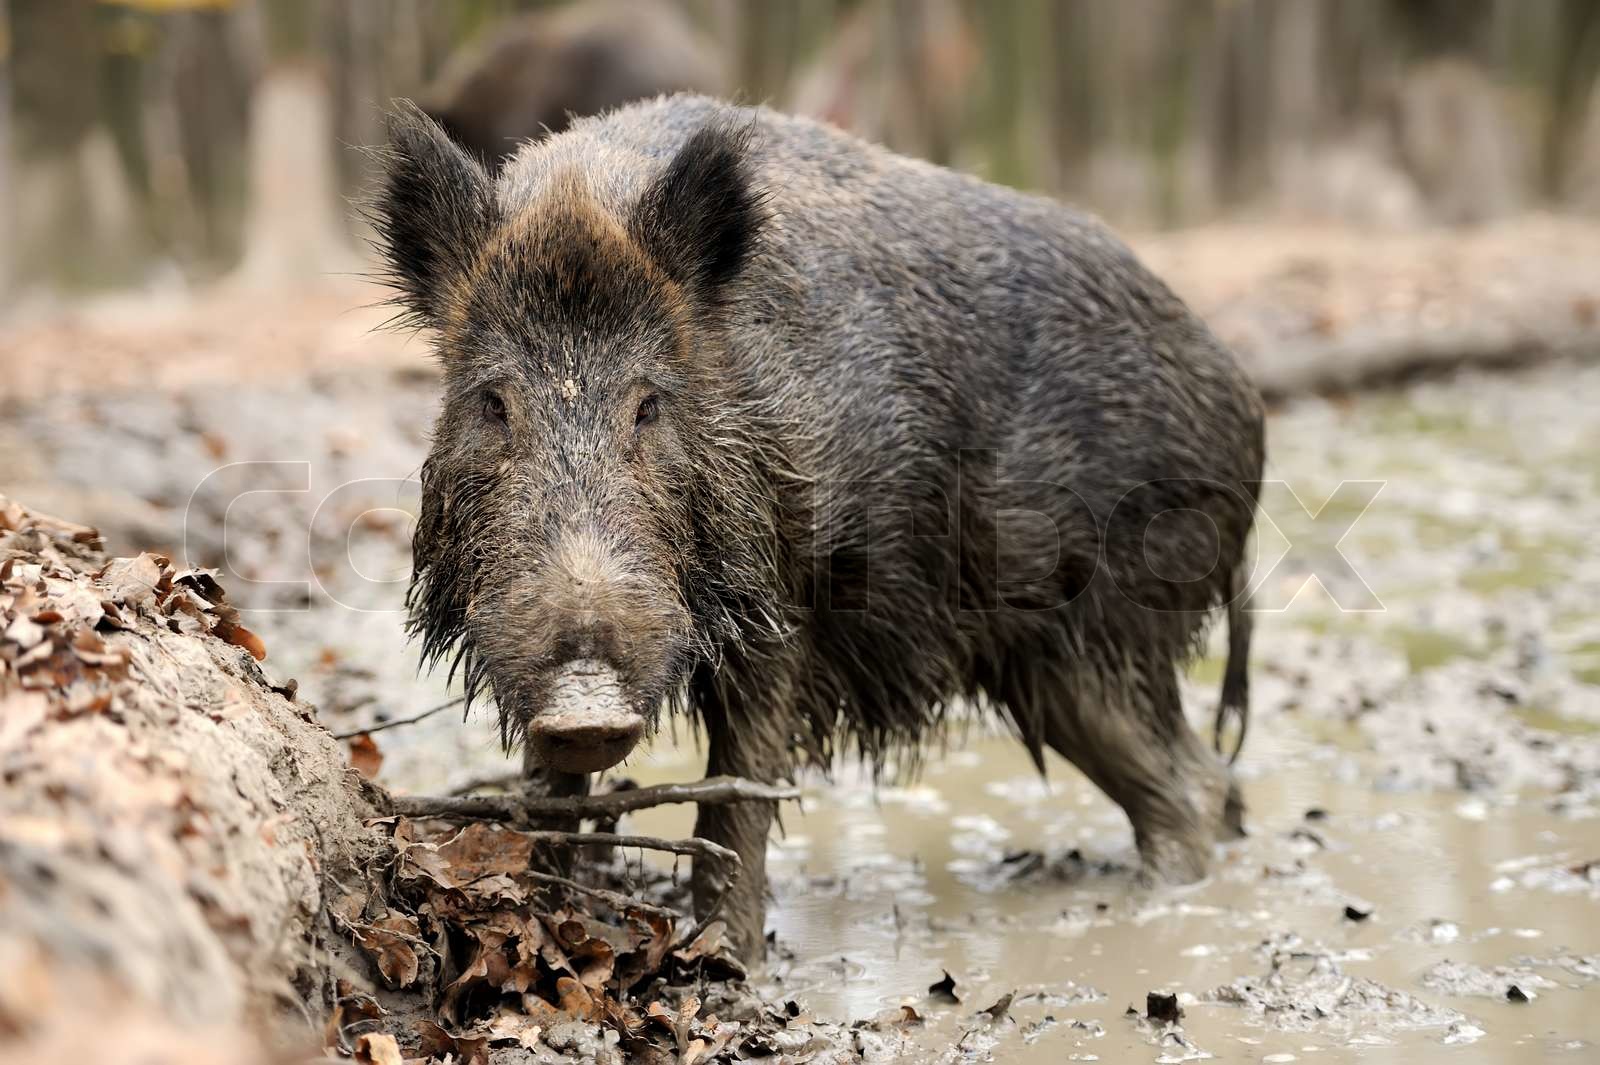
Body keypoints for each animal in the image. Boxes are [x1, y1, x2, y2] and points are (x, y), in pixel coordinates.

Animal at [375, 94, 1265, 962]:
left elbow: (737, 802)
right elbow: (551, 794)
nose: (584, 696)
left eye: (649, 403)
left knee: (1187, 788)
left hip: (1107, 619)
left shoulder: (785, 603)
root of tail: (1242, 399)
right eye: (493, 402)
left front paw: (735, 963)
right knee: (1205, 781)